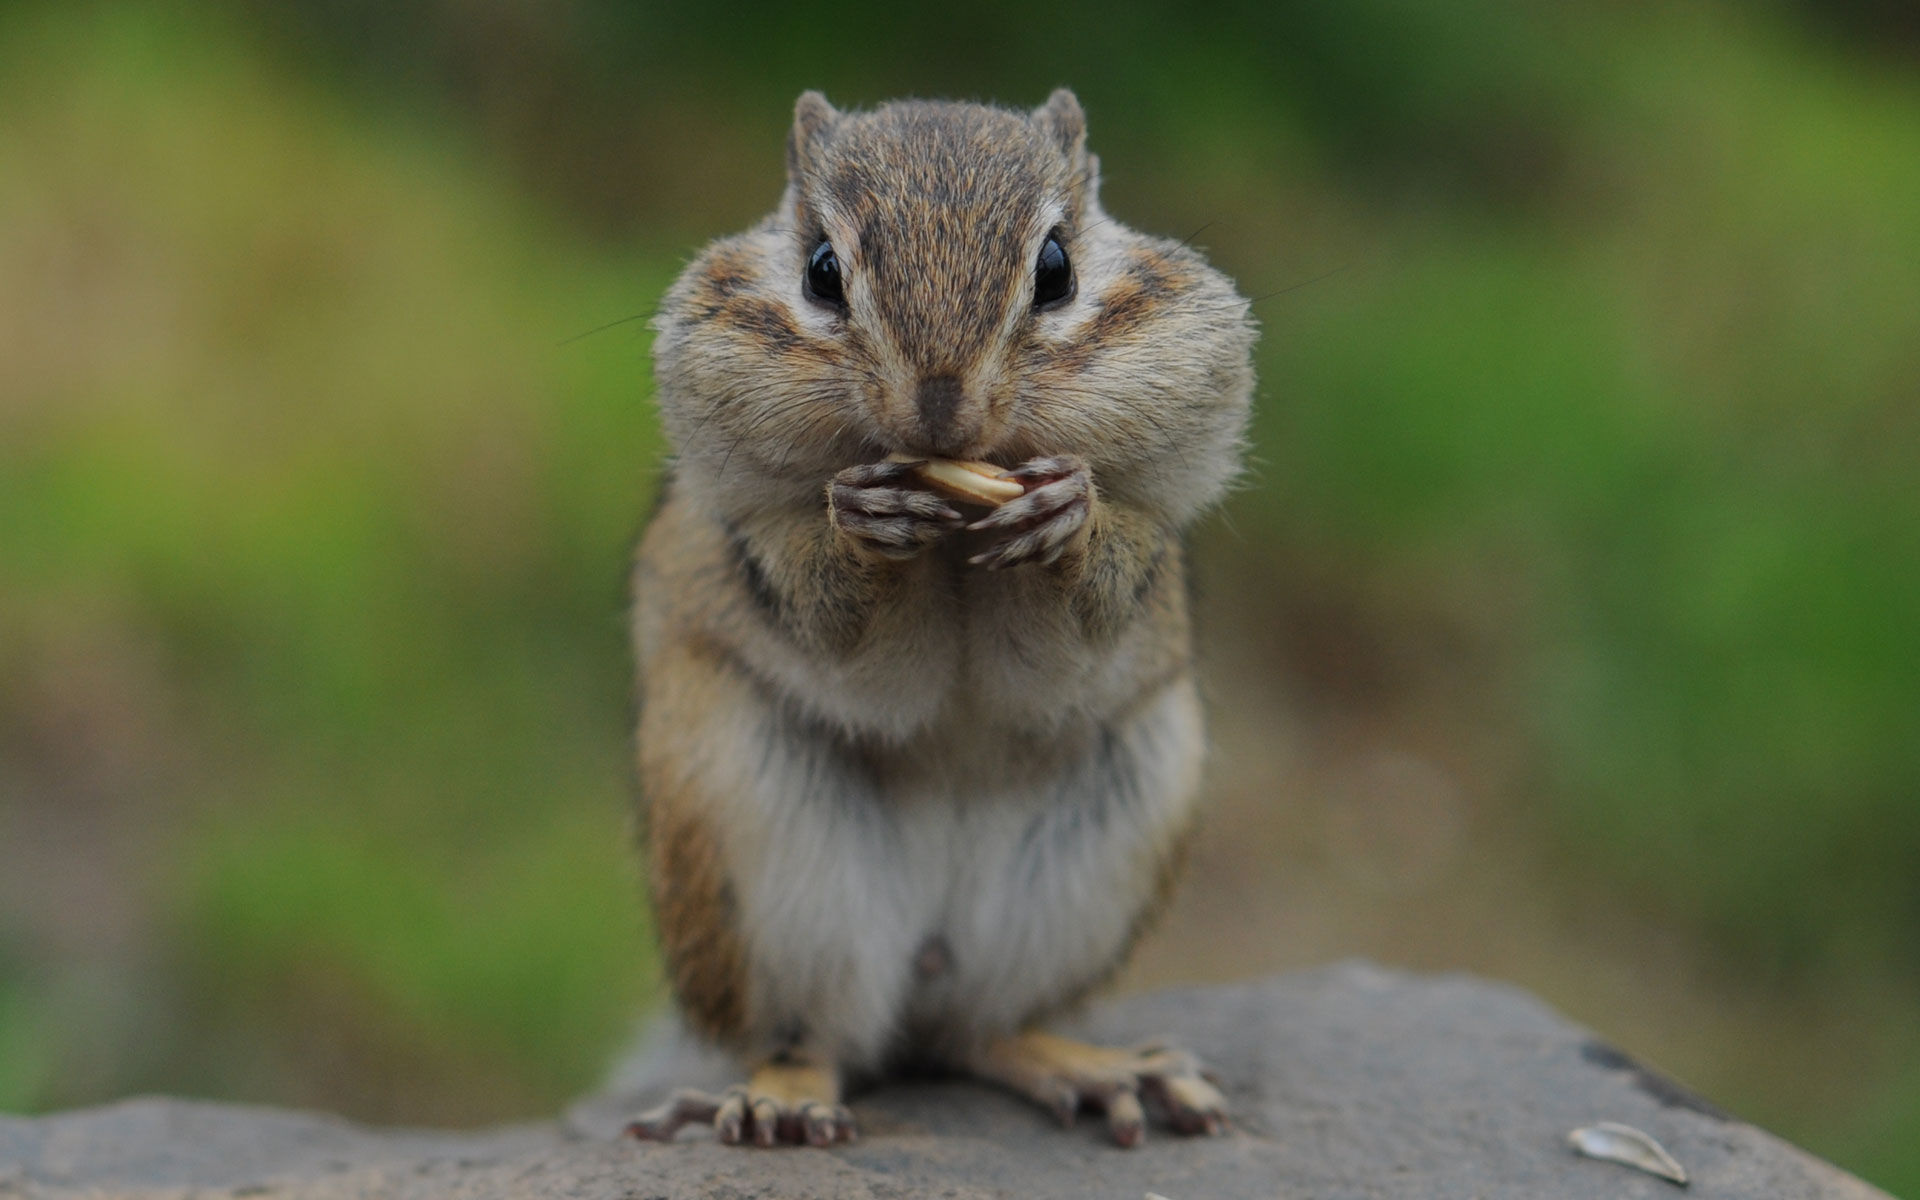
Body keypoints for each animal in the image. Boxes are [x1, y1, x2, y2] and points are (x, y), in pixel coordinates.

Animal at [622, 88, 1257, 1149]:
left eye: (1056, 270)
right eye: (821, 271)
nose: (939, 411)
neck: (955, 543)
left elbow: (1089, 607)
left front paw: (1067, 518)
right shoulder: (759, 549)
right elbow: (836, 618)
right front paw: (863, 526)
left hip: (1111, 836)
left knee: (982, 1031)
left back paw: (1099, 1069)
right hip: (754, 852)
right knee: (817, 1033)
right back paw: (781, 1097)